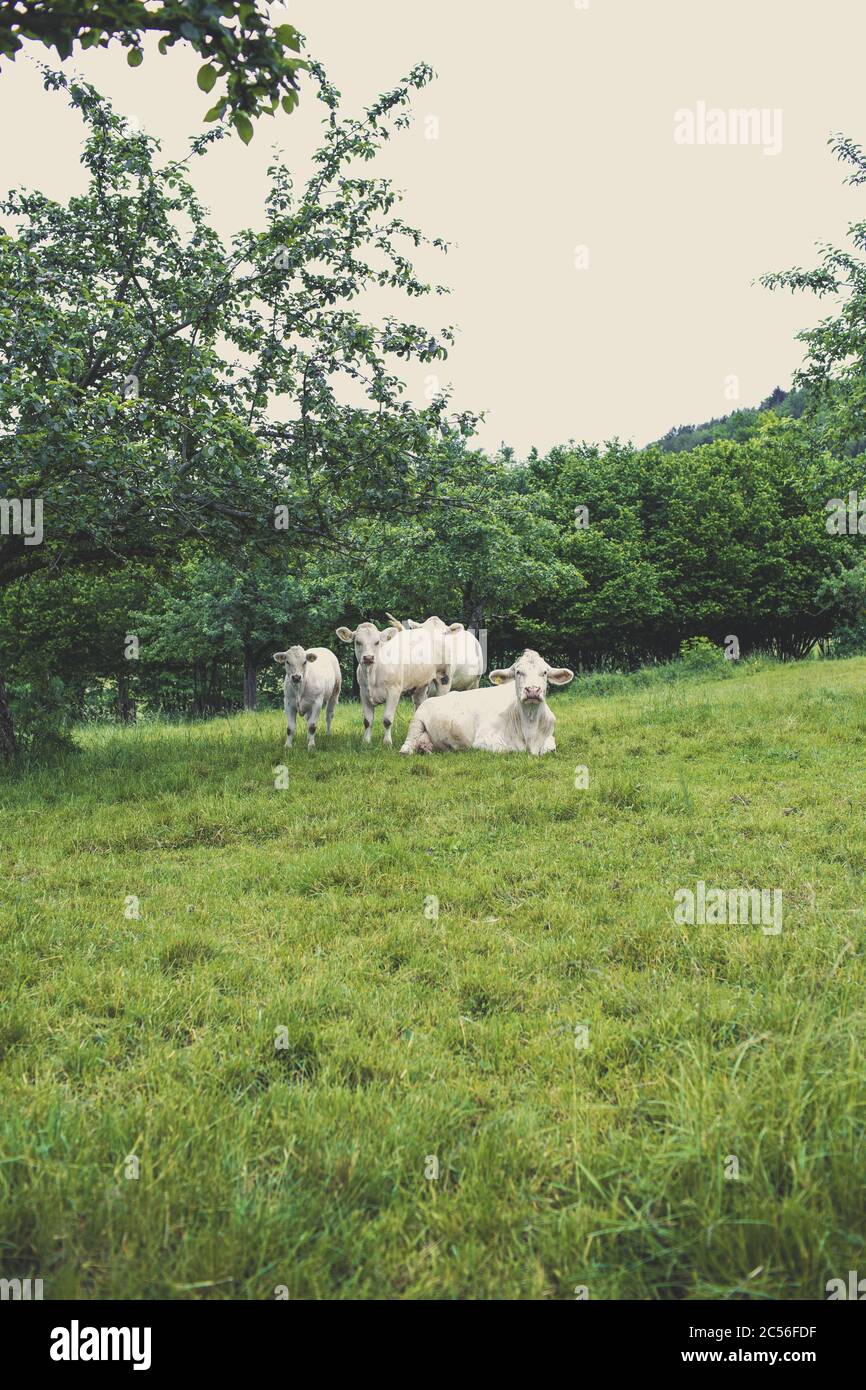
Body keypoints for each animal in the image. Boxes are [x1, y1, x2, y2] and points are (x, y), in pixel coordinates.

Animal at [336, 619, 464, 747]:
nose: (368, 658)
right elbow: (367, 721)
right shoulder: (363, 692)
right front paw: (366, 742)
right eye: (358, 642)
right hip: (420, 684)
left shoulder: (393, 691)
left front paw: (387, 743)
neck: (372, 674)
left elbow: (387, 719)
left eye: (377, 642)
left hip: (444, 678)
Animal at [400, 649, 574, 756]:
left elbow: (550, 748)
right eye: (518, 672)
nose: (532, 690)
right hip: (417, 718)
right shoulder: (482, 740)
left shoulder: (549, 737)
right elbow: (506, 749)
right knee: (409, 741)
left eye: (544, 672)